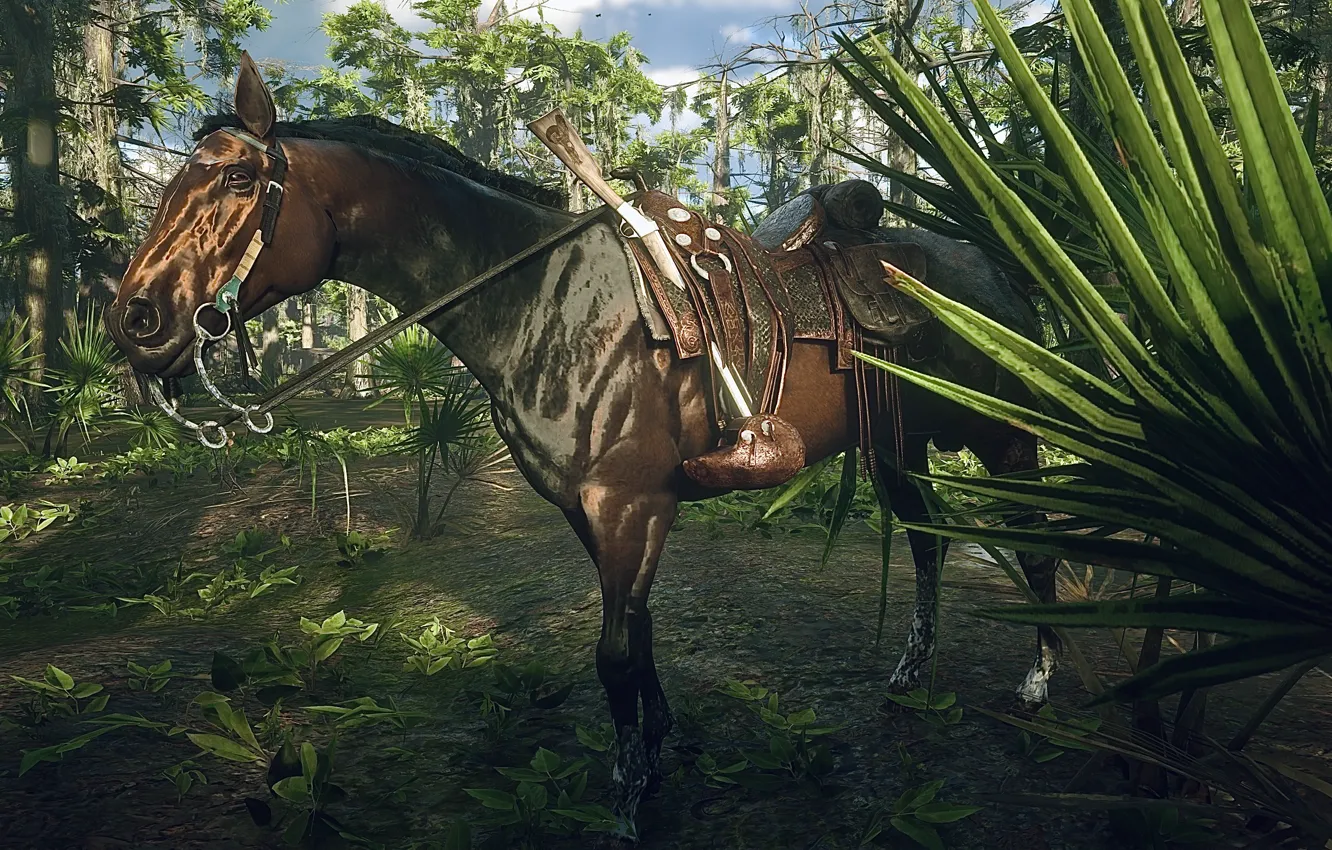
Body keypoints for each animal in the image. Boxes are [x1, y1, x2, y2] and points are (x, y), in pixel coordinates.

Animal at [106, 53, 1060, 831]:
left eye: (237, 181)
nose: (135, 321)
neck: (544, 302)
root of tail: (999, 268)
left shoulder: (630, 503)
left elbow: (612, 653)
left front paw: (632, 790)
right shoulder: (590, 508)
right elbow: (634, 632)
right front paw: (654, 747)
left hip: (1009, 436)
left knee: (1039, 545)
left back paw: (1041, 680)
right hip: (899, 442)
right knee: (929, 538)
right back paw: (911, 669)